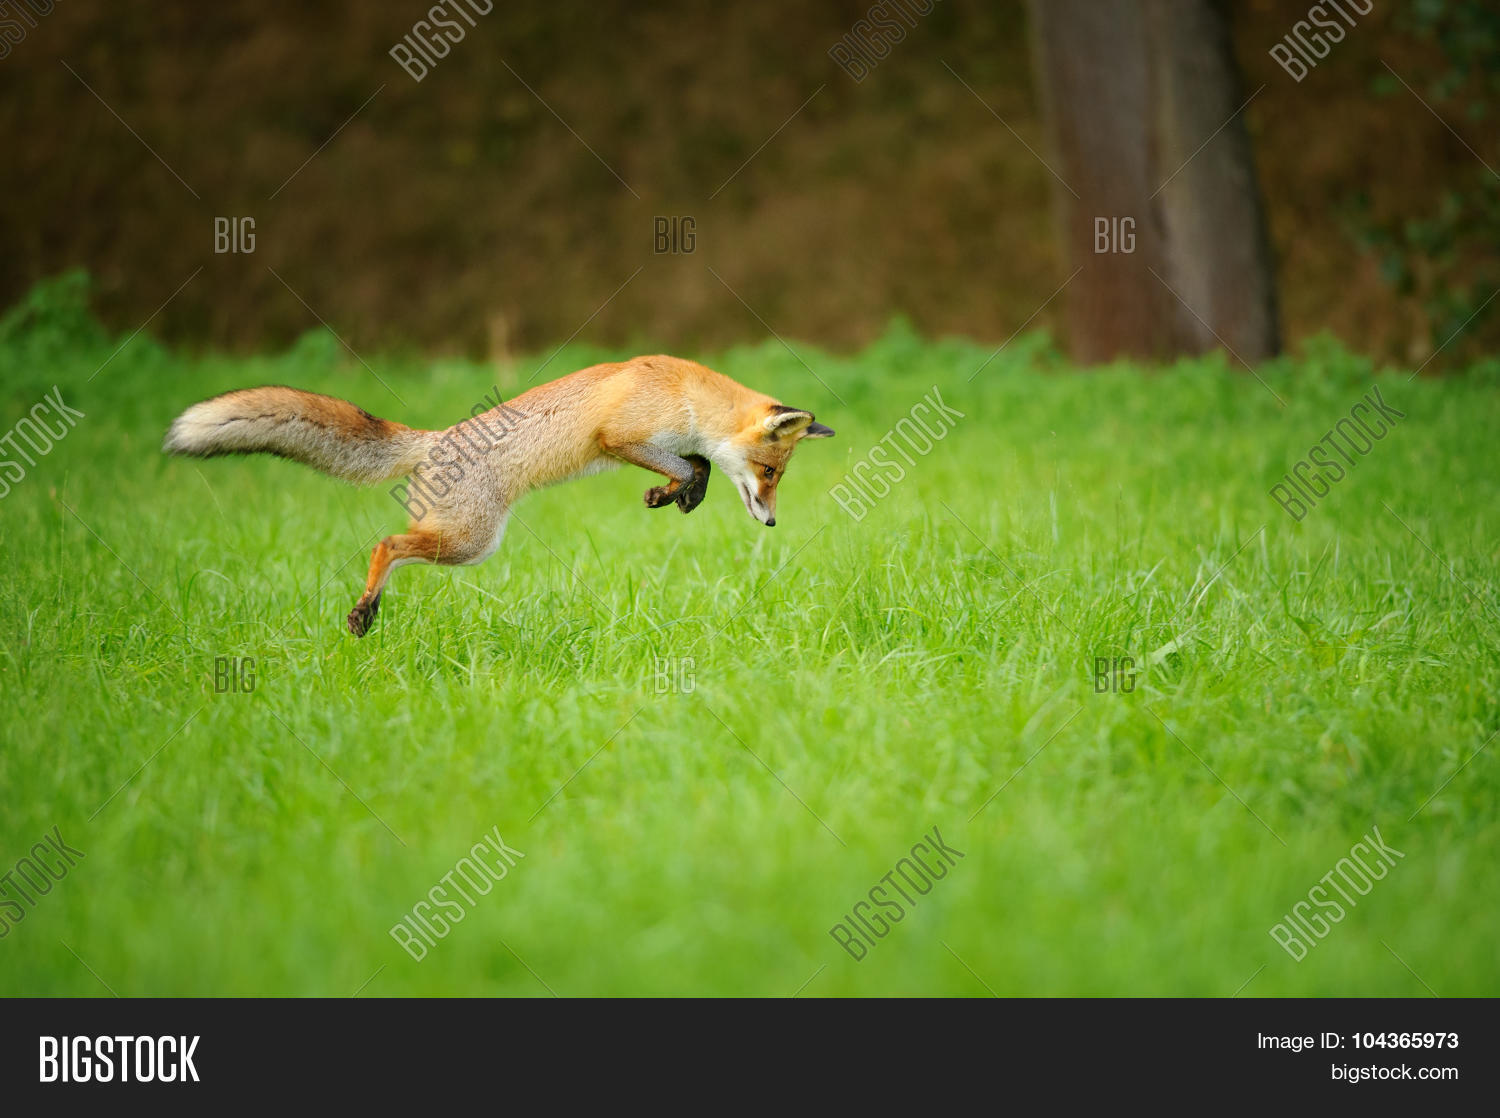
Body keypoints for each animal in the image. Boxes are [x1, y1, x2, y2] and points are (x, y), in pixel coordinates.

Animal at [163, 354, 834, 637]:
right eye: (769, 472)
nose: (771, 524)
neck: (687, 394)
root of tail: (433, 439)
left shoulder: (646, 443)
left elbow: (694, 462)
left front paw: (671, 494)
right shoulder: (616, 436)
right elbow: (693, 463)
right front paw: (681, 489)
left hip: (463, 539)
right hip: (471, 541)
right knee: (385, 544)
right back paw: (363, 611)